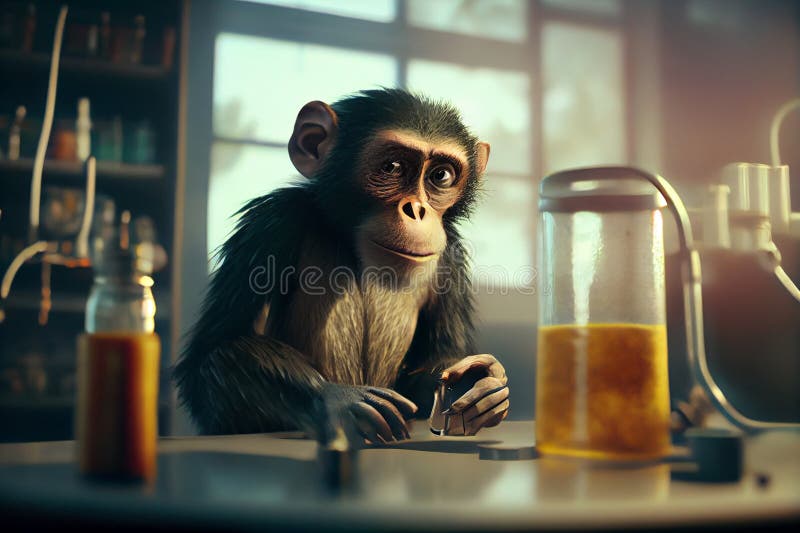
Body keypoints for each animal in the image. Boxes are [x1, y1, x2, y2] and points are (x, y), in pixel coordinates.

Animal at [174, 88, 510, 444]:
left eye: (441, 176)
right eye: (392, 166)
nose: (416, 210)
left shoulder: (451, 257)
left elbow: (438, 359)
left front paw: (481, 385)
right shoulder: (269, 226)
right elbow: (211, 355)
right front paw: (337, 397)